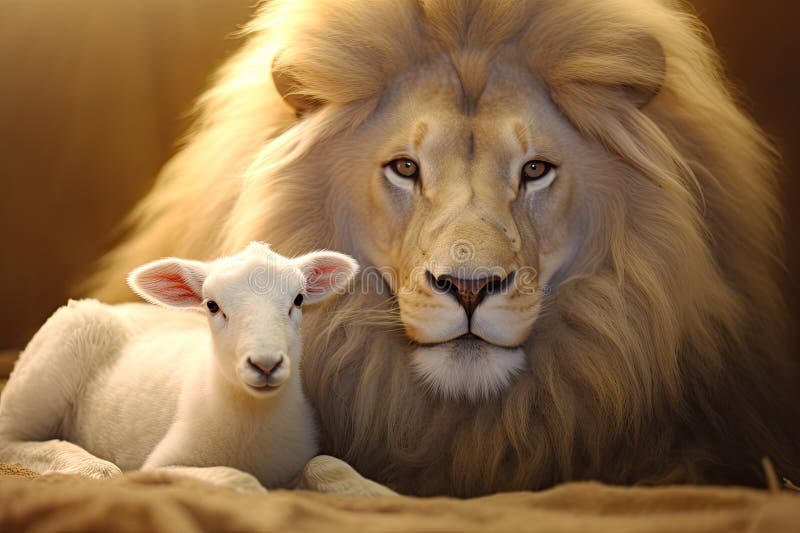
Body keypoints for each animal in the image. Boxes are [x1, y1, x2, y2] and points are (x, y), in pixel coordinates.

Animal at [0, 242, 359, 492]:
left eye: (298, 300)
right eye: (212, 305)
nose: (266, 363)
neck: (251, 417)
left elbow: (328, 465)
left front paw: (368, 493)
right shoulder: (162, 464)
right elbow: (238, 480)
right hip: (46, 370)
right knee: (11, 440)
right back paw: (88, 465)